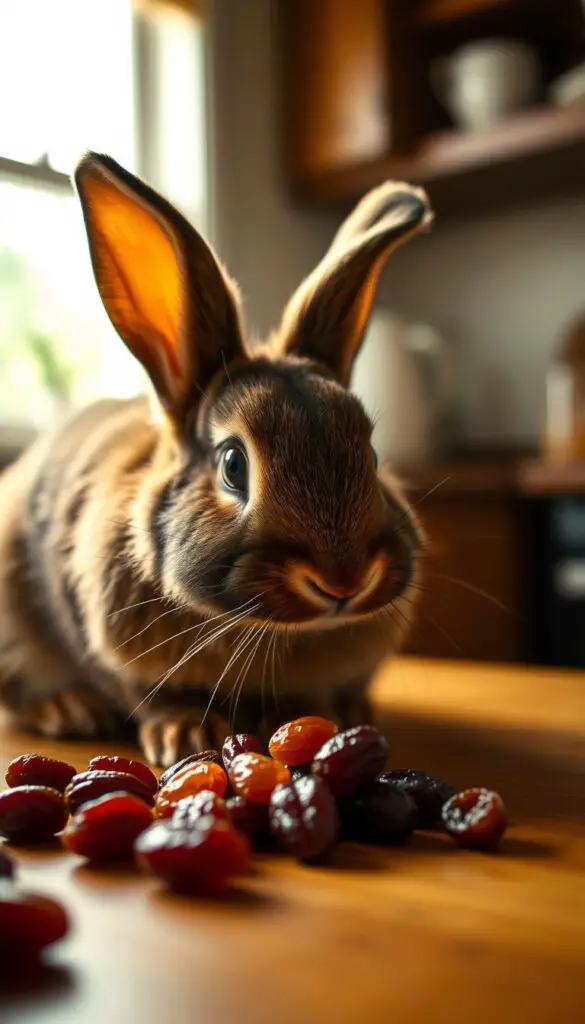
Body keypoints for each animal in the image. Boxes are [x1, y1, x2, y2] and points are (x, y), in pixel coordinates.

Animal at [0, 152, 433, 767]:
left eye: (371, 454)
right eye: (233, 465)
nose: (344, 580)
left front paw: (310, 721)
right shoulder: (110, 651)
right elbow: (149, 697)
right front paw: (185, 734)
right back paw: (68, 711)